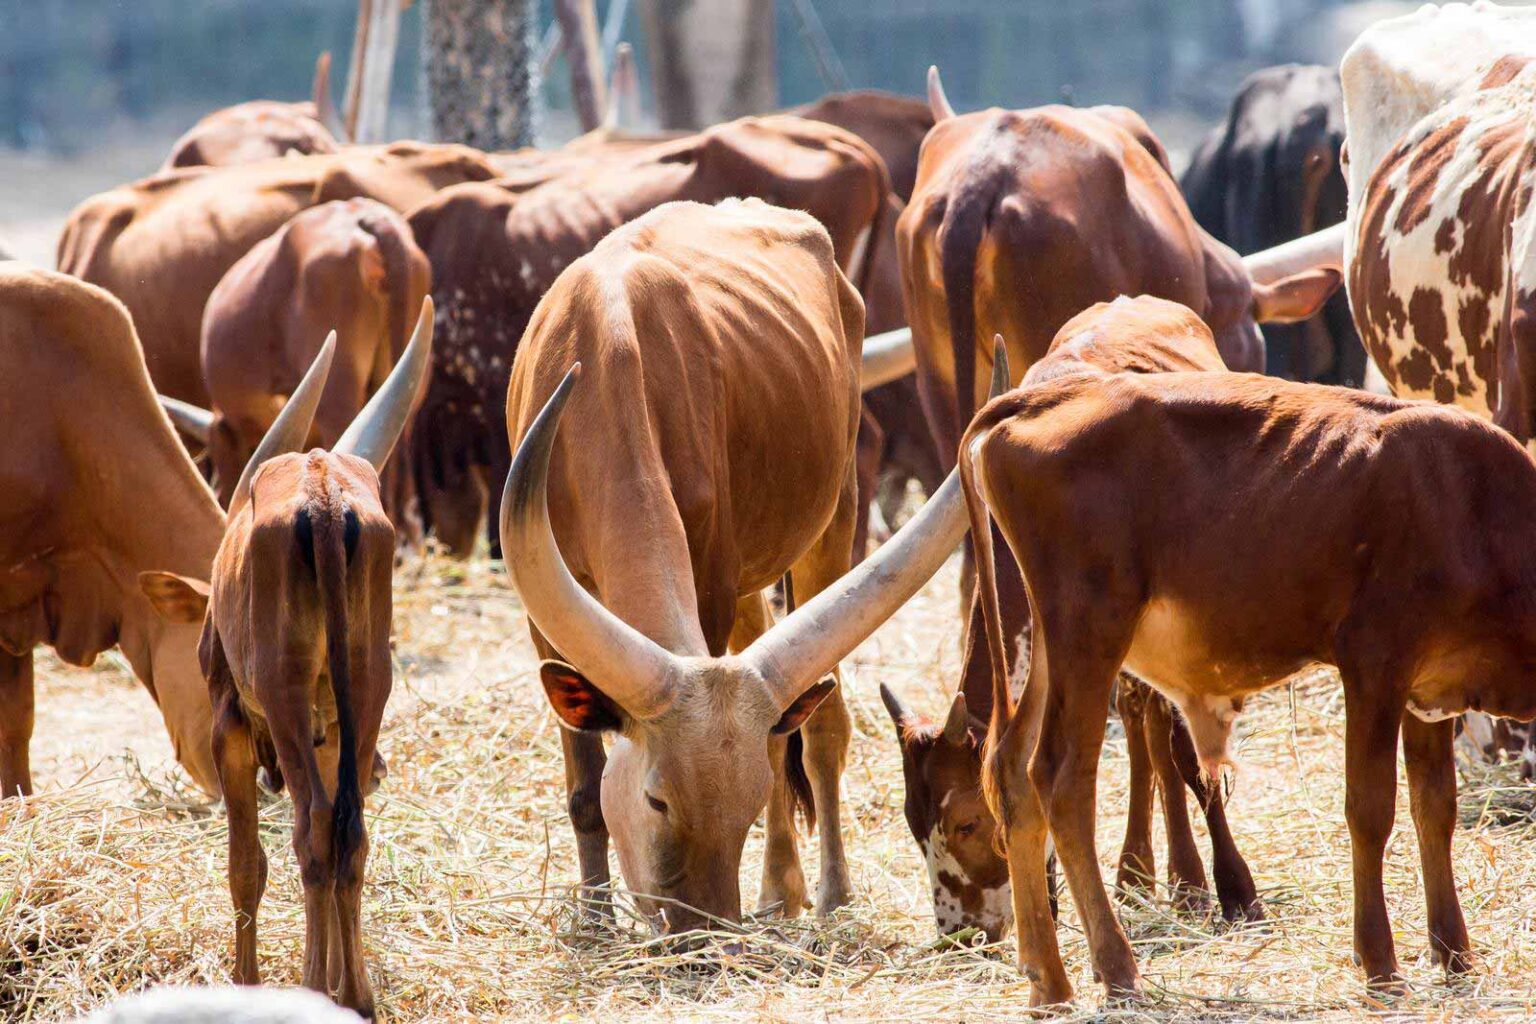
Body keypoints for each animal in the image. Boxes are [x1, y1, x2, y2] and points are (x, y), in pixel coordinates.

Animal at [138, 301, 433, 1018]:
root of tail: (324, 496)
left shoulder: (233, 726)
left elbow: (247, 865)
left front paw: (246, 983)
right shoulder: (332, 727)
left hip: (282, 696)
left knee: (311, 831)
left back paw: (316, 989)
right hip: (365, 689)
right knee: (345, 832)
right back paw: (353, 997)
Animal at [498, 199, 982, 932]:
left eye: (745, 807)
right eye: (656, 799)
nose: (704, 936)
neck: (607, 362)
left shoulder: (712, 588)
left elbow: (785, 750)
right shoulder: (543, 623)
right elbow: (584, 788)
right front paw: (594, 919)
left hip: (834, 515)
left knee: (818, 735)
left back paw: (819, 892)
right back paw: (779, 892)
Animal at [880, 297, 1262, 942]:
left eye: (965, 822)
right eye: (912, 822)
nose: (961, 932)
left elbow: (1185, 754)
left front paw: (1234, 887)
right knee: (1141, 725)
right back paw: (1142, 870)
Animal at [958, 346, 1536, 1003]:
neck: (1467, 504)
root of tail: (1038, 399)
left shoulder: (1431, 688)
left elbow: (1434, 806)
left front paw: (1454, 953)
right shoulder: (1374, 666)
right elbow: (1370, 809)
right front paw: (1380, 963)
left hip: (1052, 644)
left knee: (1012, 772)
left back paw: (1049, 980)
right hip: (1089, 631)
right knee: (1060, 778)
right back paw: (1116, 968)